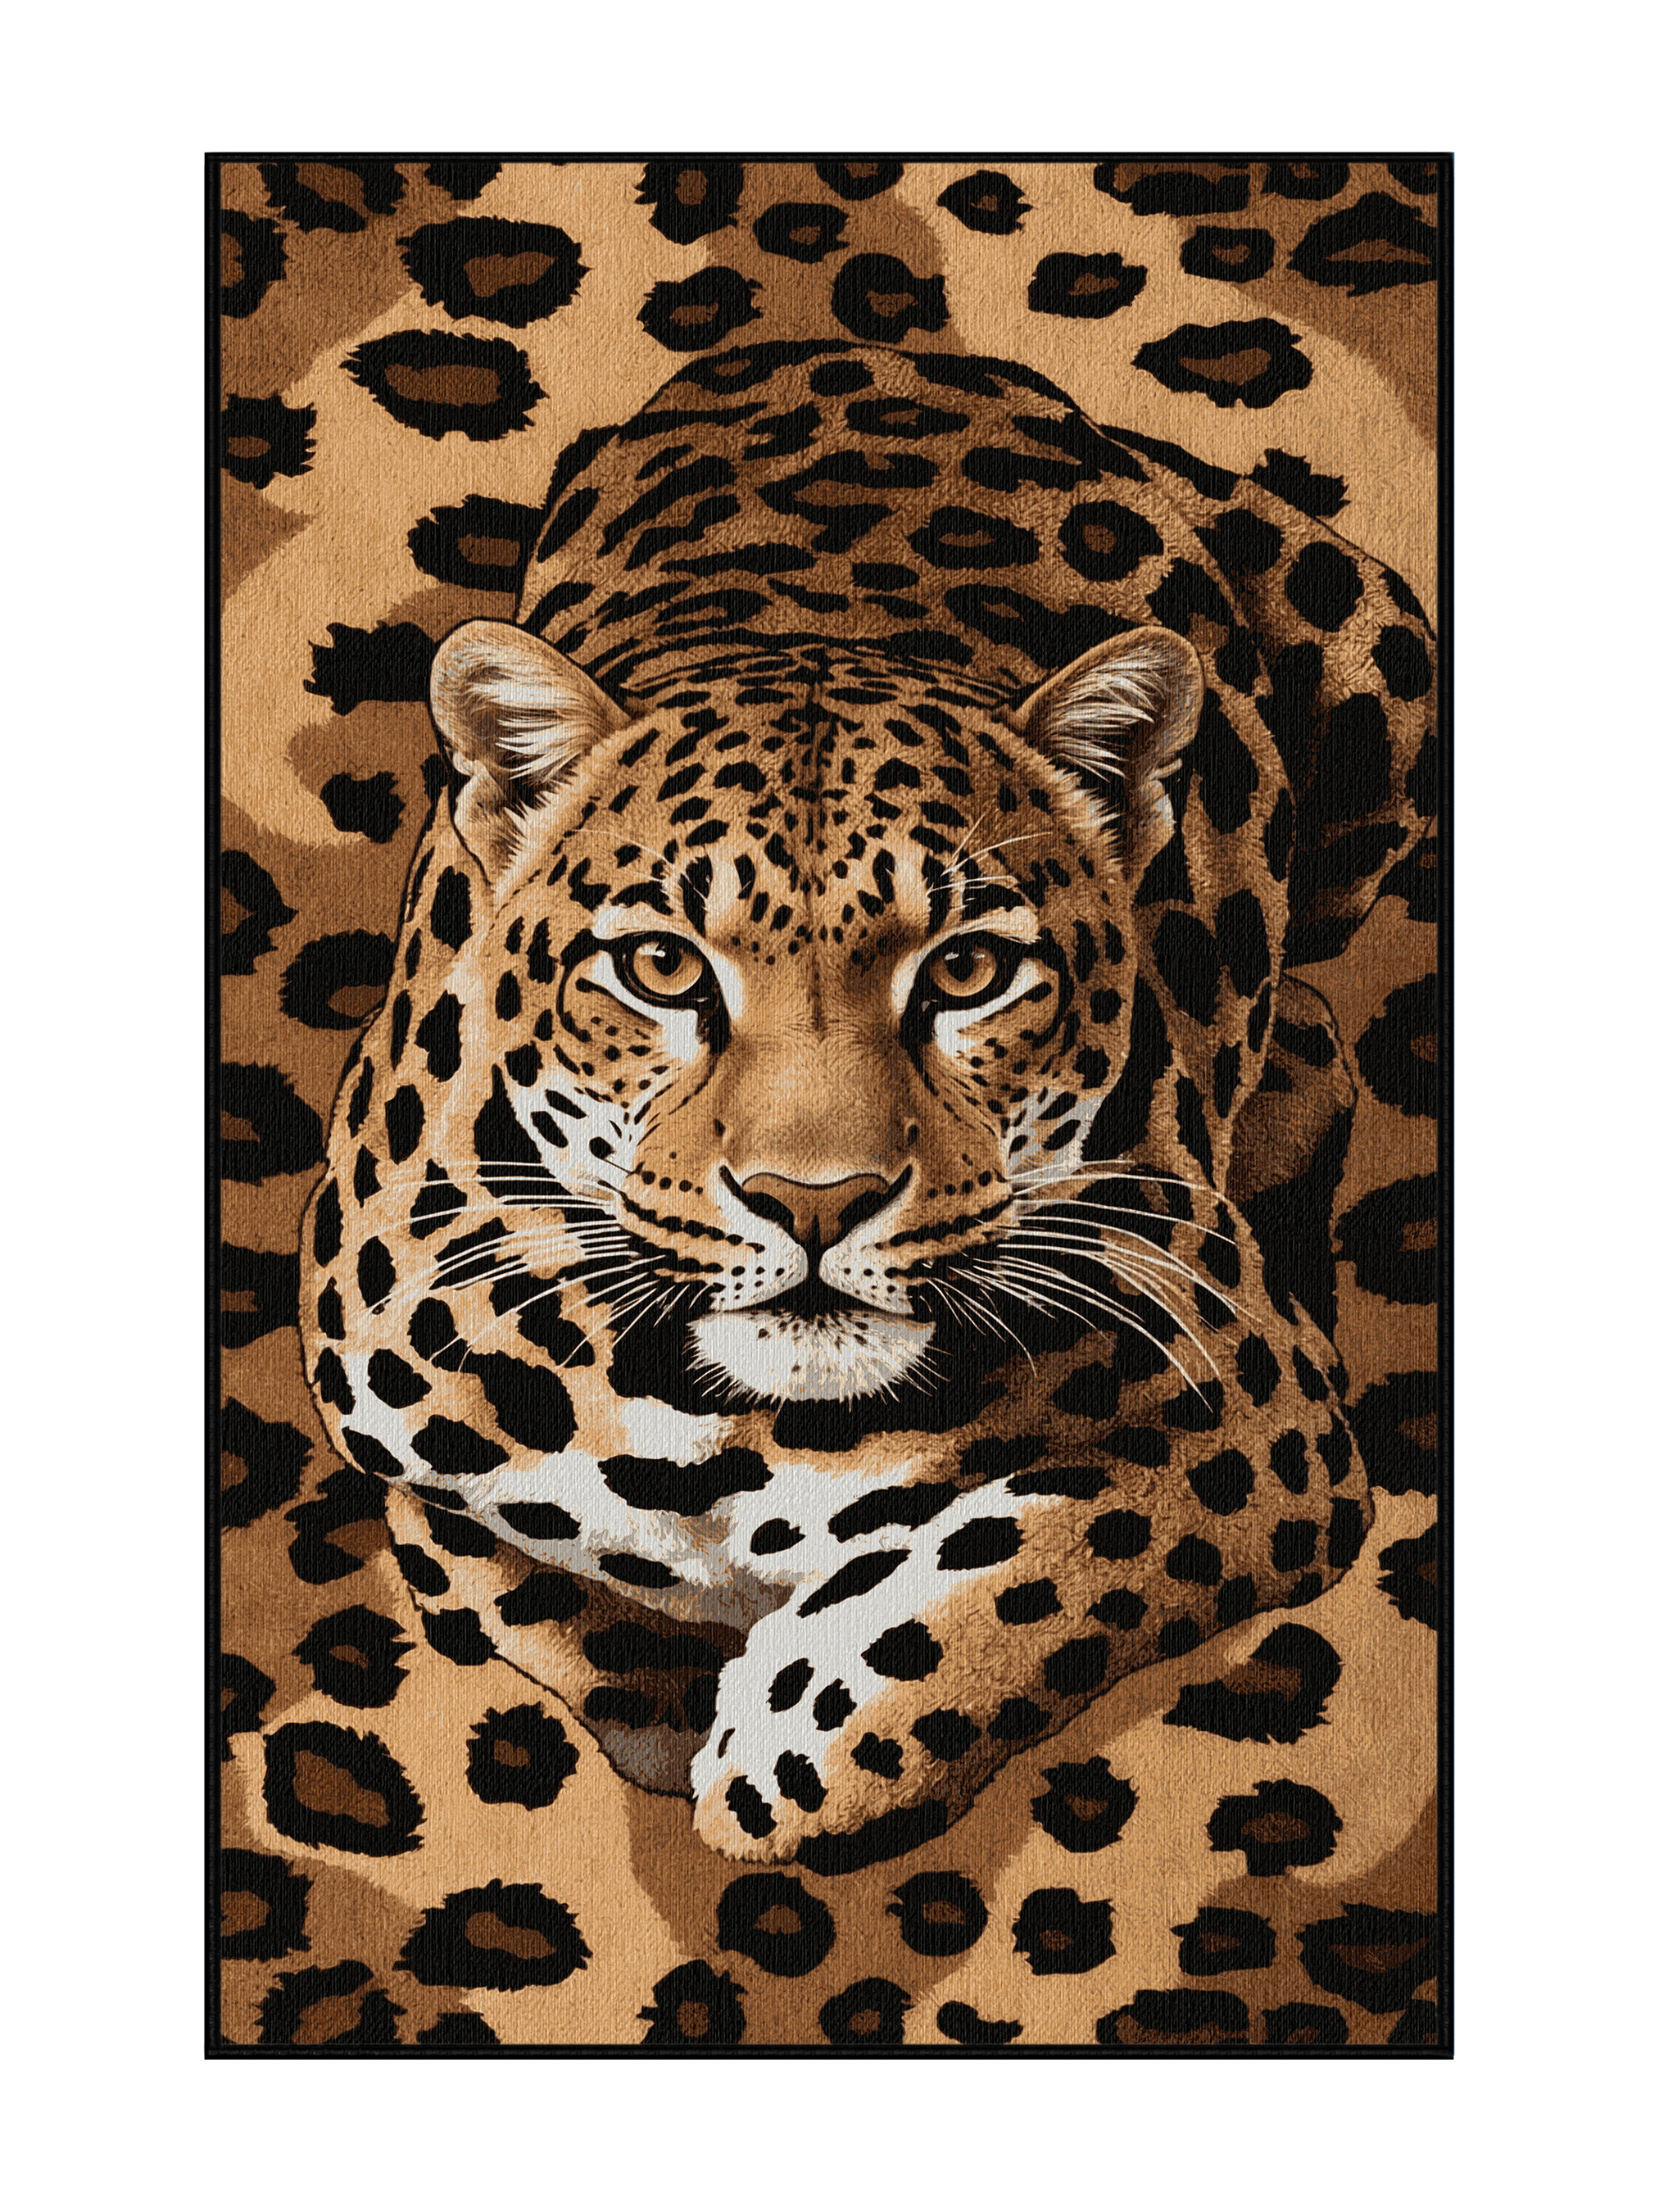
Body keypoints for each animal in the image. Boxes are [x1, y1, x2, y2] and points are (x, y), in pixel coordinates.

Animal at [294, 331, 1434, 1871]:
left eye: (967, 969)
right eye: (661, 965)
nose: (815, 1202)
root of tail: (859, 339)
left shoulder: (1261, 1413)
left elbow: (1046, 1572)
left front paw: (785, 1720)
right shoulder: (396, 1440)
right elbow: (523, 1594)